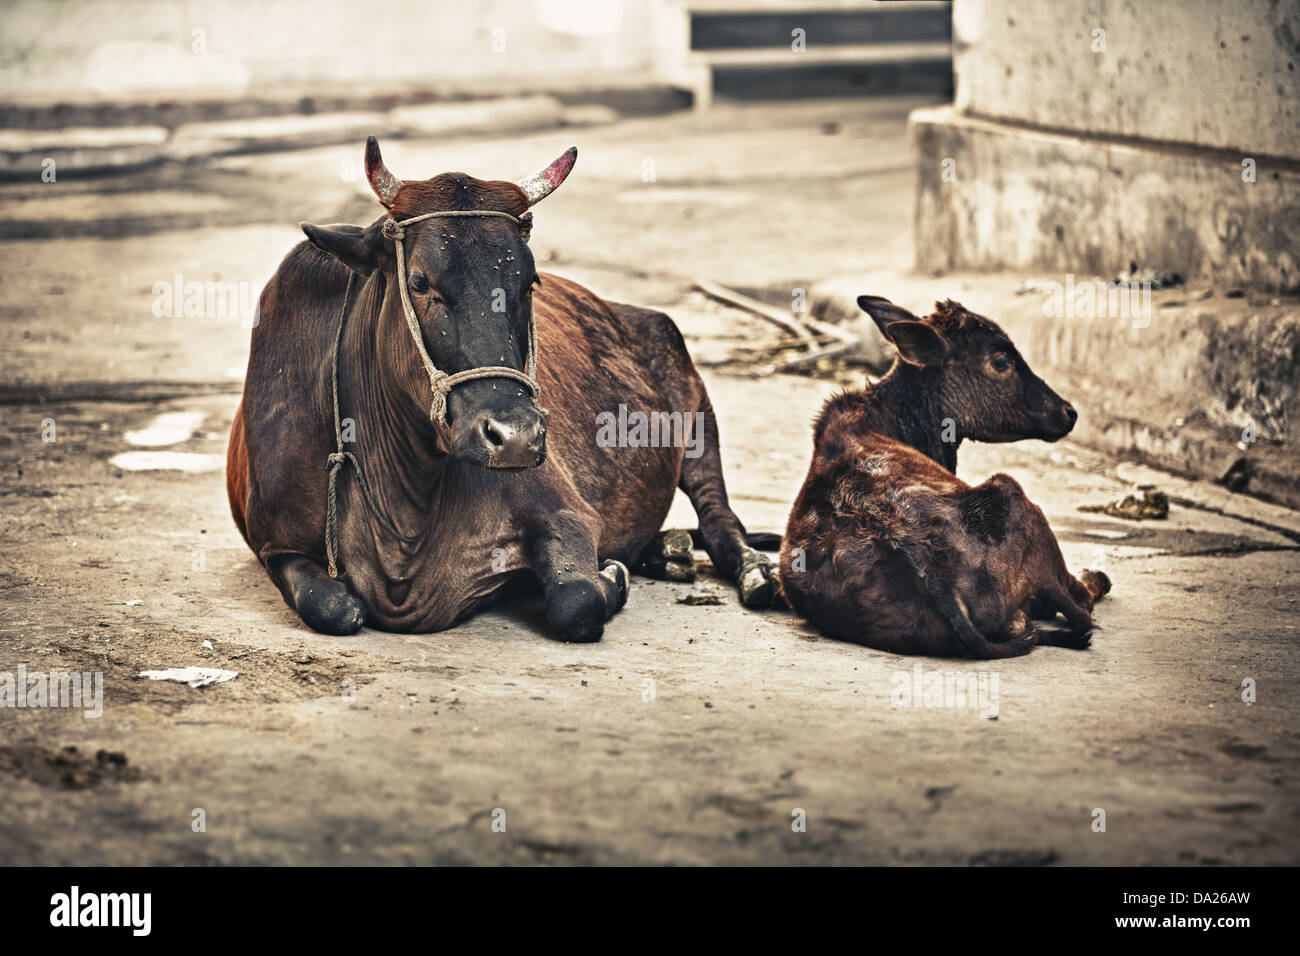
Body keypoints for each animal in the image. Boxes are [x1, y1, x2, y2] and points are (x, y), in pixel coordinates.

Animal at [226, 138, 775, 639]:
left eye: (530, 281)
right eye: (420, 282)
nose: (515, 438)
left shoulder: (567, 512)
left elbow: (577, 600)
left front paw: (614, 576)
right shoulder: (274, 545)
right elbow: (333, 607)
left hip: (698, 422)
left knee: (721, 522)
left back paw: (750, 571)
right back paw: (667, 549)